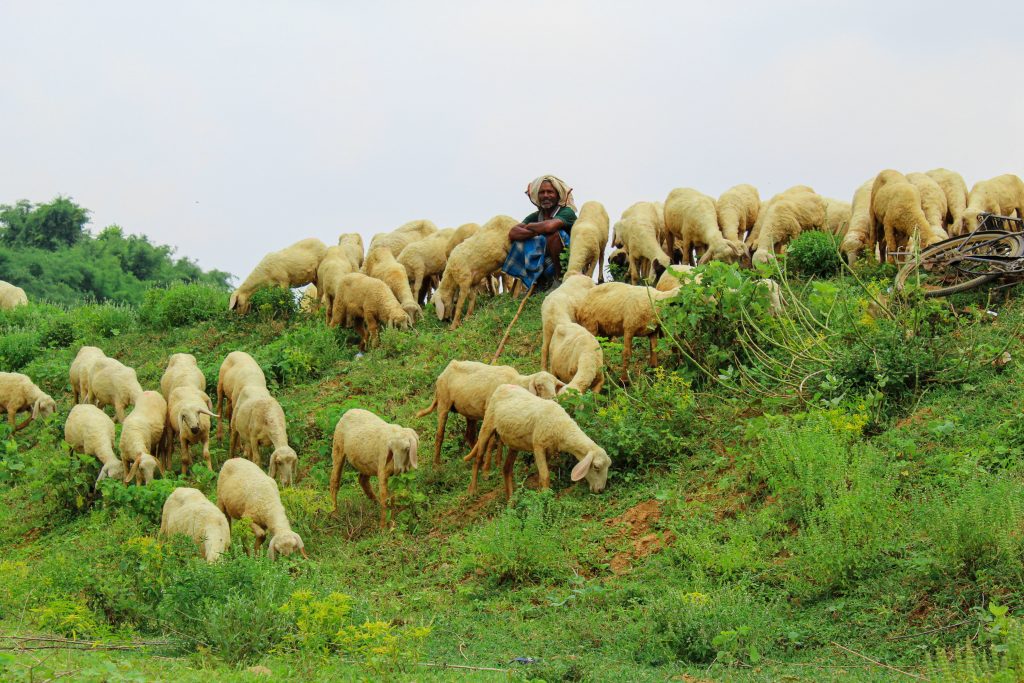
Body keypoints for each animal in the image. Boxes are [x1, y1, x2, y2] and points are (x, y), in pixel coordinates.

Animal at [416, 360, 564, 466]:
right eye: (539, 386)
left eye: (554, 385)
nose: (554, 400)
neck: (515, 382)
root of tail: (444, 371)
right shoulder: (491, 411)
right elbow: (493, 440)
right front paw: (491, 465)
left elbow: (499, 439)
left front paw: (496, 462)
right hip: (443, 402)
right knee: (439, 435)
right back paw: (436, 465)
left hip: (469, 412)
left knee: (470, 435)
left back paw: (476, 460)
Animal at [463, 384, 611, 499]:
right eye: (596, 467)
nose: (600, 490)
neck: (561, 427)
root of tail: (503, 386)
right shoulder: (538, 446)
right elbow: (545, 476)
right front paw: (544, 500)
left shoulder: (550, 450)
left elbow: (541, 476)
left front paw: (540, 495)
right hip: (487, 424)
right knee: (478, 458)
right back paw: (472, 491)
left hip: (514, 442)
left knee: (507, 468)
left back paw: (510, 501)